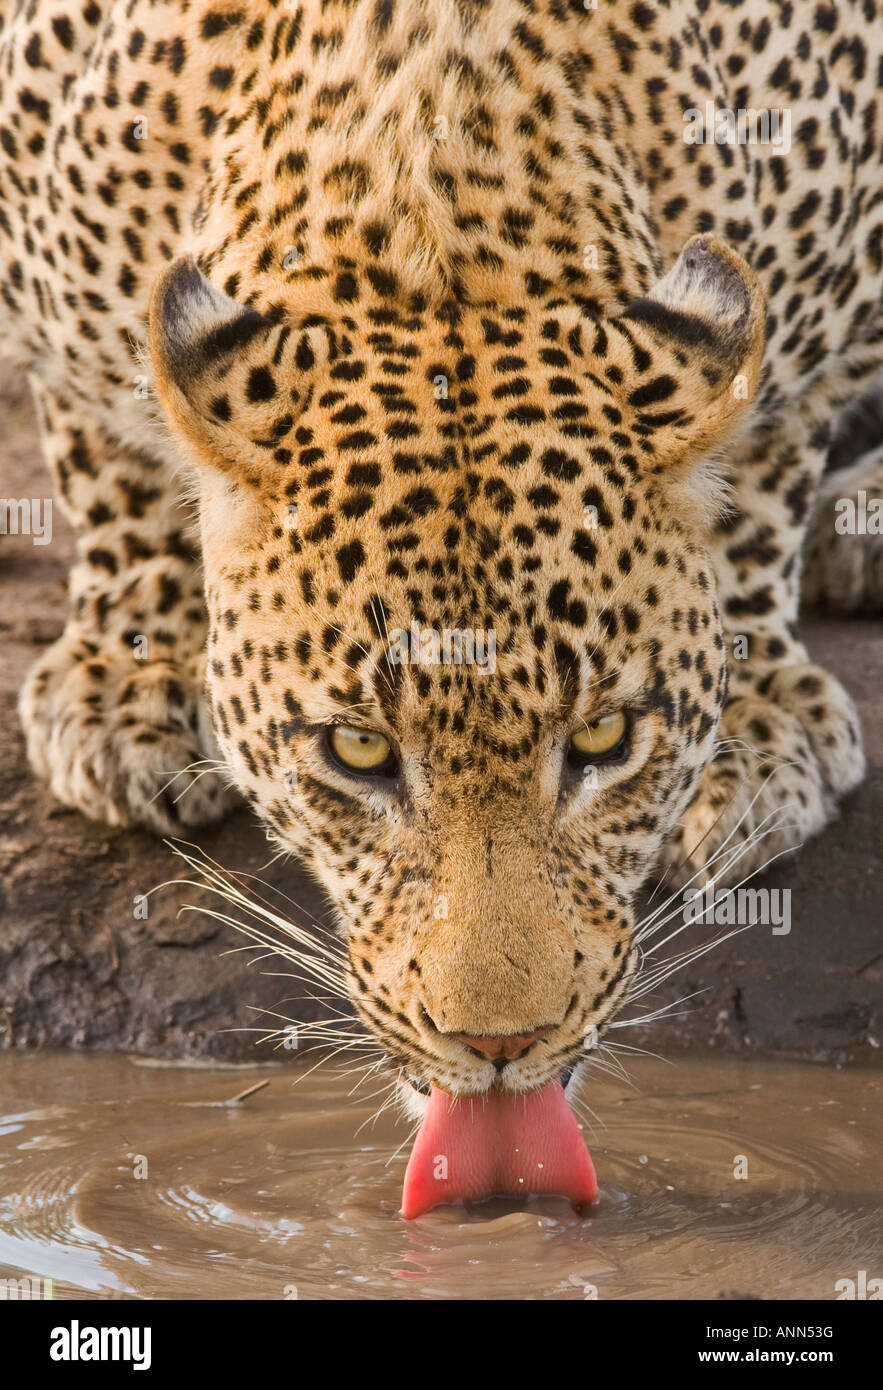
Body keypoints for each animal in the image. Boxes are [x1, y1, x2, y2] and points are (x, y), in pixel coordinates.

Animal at [1, 0, 881, 1155]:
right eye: (359, 753)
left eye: (605, 740)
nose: (499, 1046)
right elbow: (105, 446)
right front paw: (123, 675)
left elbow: (769, 454)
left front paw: (756, 718)